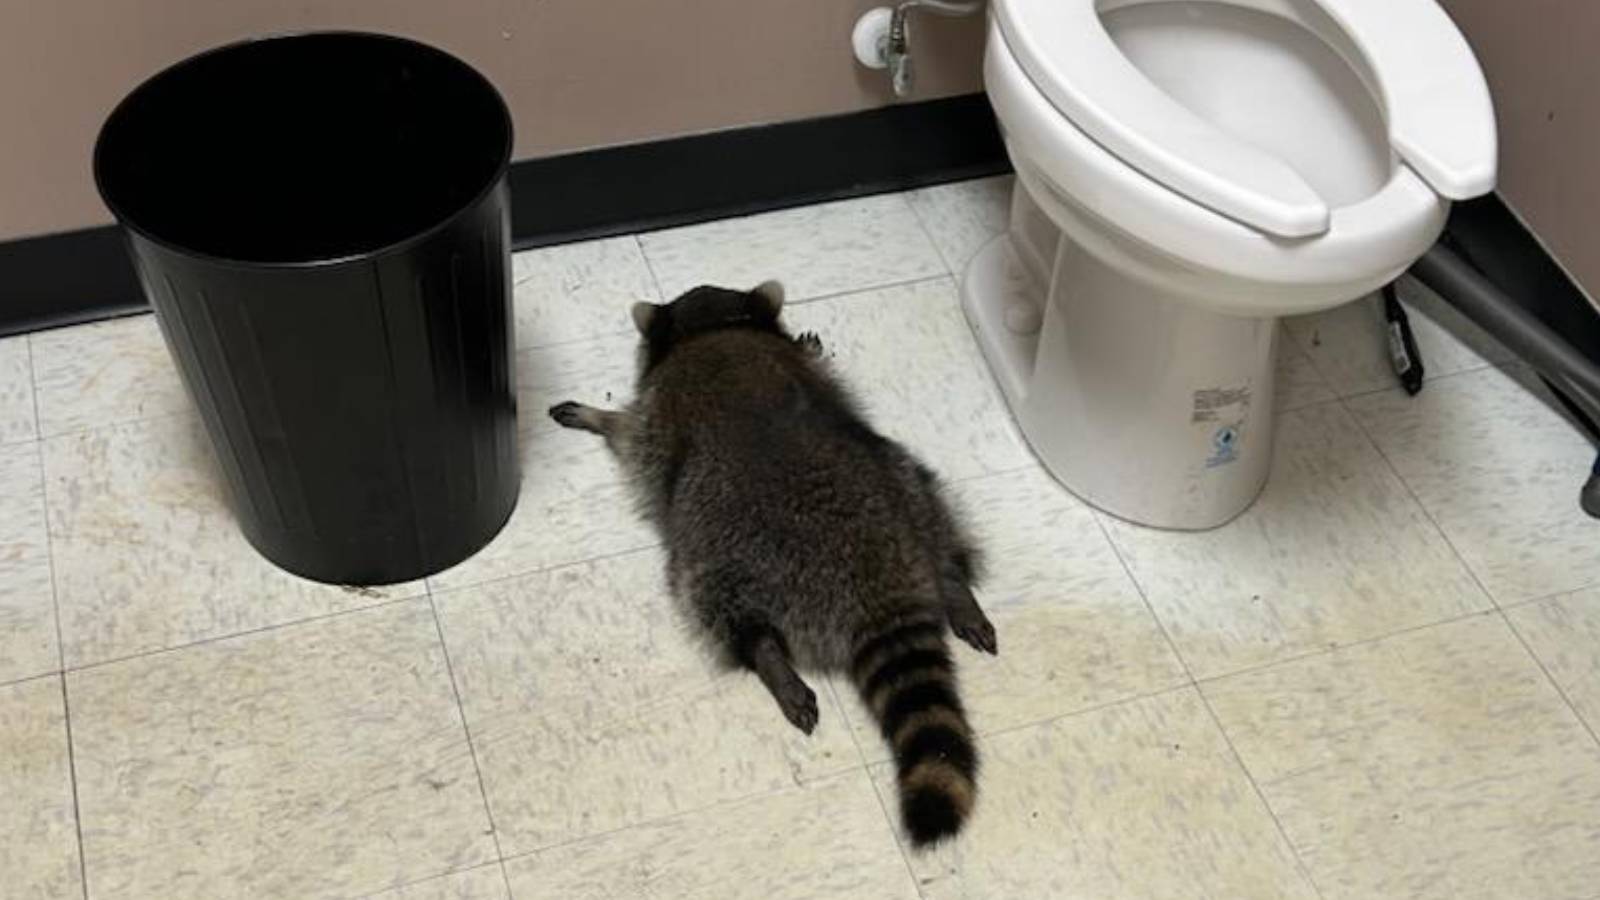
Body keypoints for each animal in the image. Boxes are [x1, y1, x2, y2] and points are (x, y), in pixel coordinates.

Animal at [548, 281, 997, 847]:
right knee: (933, 510)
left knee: (715, 602)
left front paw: (597, 416)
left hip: (722, 549)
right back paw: (954, 583)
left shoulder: (656, 416)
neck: (715, 327)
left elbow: (629, 432)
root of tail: (878, 582)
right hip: (905, 483)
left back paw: (767, 656)